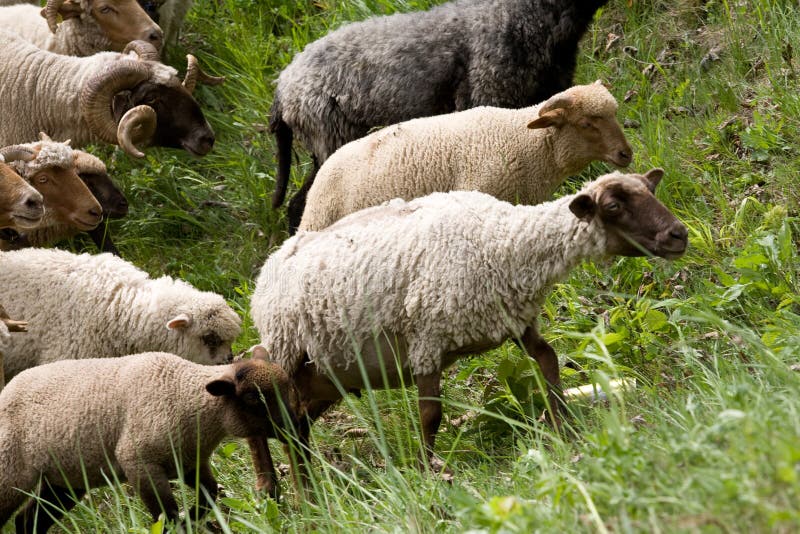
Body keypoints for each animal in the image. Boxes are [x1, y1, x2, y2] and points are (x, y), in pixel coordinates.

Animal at [0, 349, 299, 531]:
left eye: (286, 388)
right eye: (252, 397)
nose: (295, 427)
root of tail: (7, 389)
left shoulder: (189, 462)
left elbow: (210, 495)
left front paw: (192, 519)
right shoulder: (140, 463)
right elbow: (166, 516)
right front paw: (183, 525)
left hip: (64, 479)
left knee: (28, 521)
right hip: (9, 472)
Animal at [250, 169, 688, 485]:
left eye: (651, 190)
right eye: (613, 205)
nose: (679, 234)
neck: (505, 242)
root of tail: (267, 268)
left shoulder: (515, 320)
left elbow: (548, 360)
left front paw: (563, 427)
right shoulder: (426, 343)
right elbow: (430, 415)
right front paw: (427, 474)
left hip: (327, 375)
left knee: (296, 425)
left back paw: (309, 485)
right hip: (286, 355)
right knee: (278, 426)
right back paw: (294, 493)